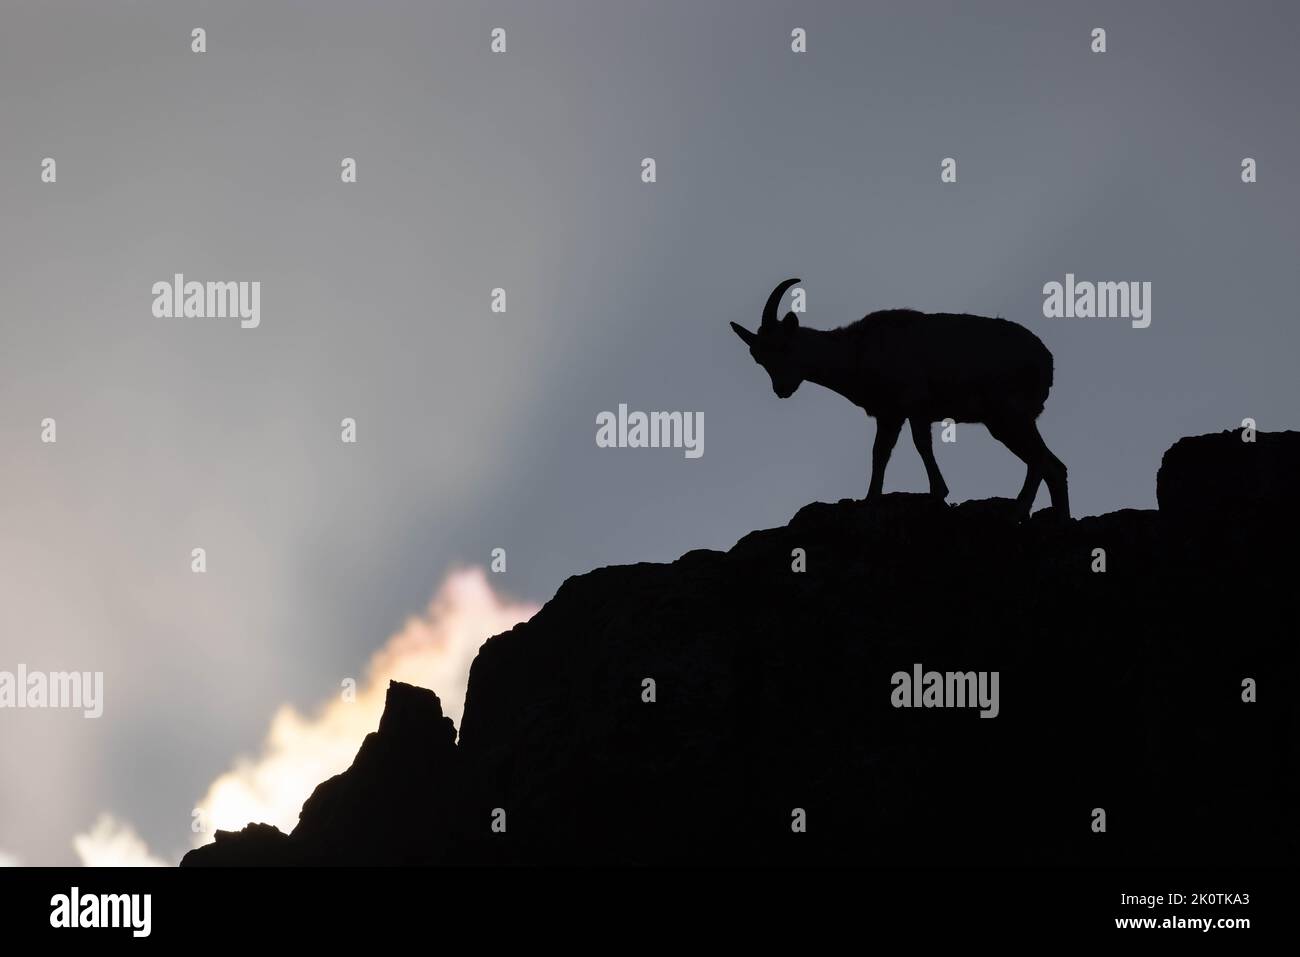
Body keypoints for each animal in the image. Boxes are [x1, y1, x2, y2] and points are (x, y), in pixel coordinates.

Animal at [730, 278, 1069, 519]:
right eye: (758, 358)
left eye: (784, 346)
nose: (782, 389)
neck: (856, 352)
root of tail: (1046, 360)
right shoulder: (889, 414)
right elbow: (880, 453)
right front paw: (870, 499)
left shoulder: (914, 403)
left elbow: (920, 445)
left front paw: (938, 492)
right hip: (1005, 421)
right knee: (1054, 466)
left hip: (1009, 413)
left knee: (1041, 460)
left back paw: (1018, 510)